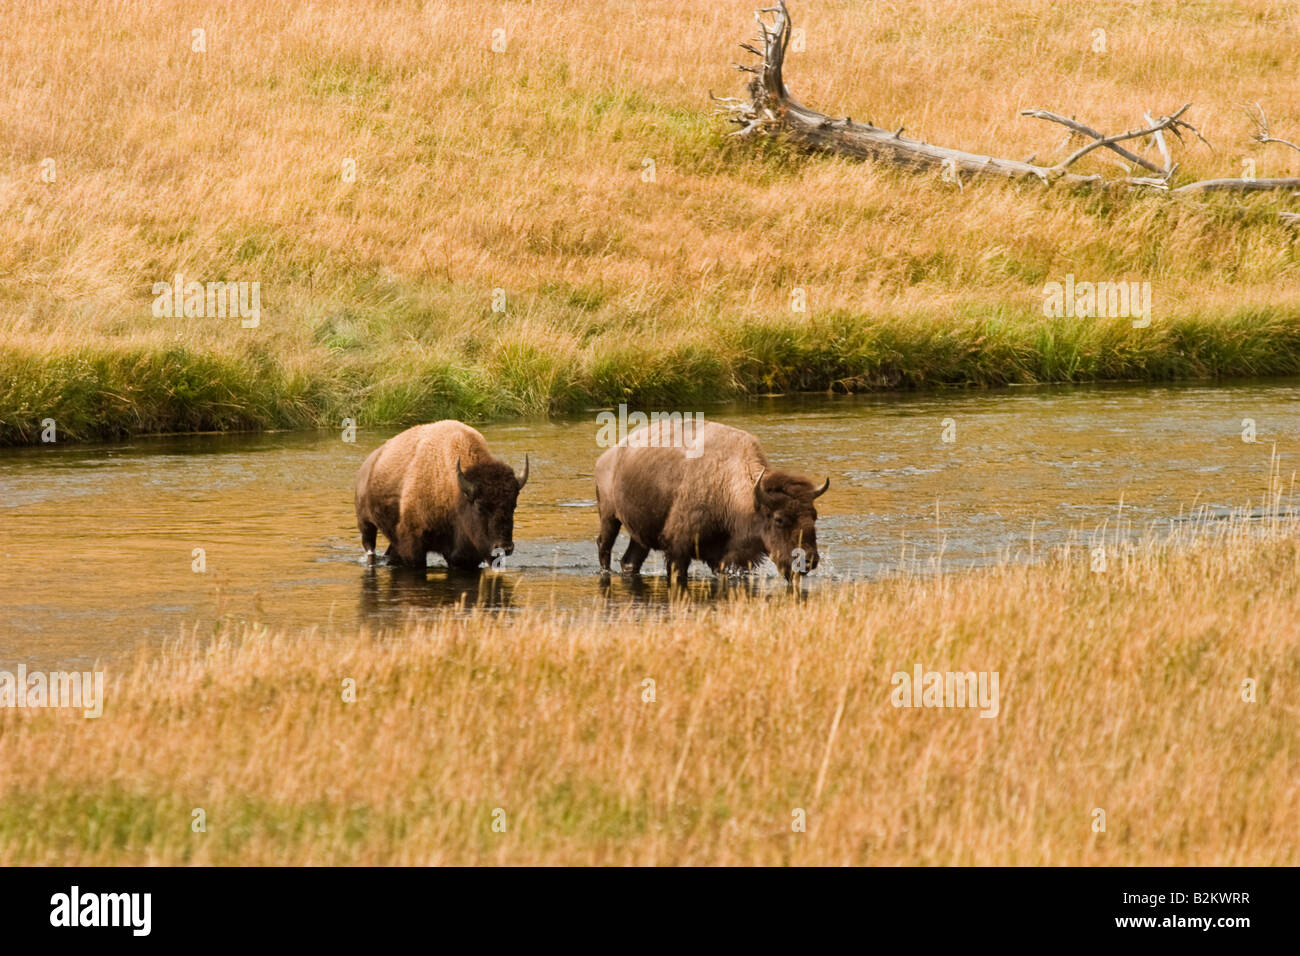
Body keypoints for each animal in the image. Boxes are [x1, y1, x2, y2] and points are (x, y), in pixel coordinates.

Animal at [354, 420, 528, 570]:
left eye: (513, 505)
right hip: (366, 524)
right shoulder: (413, 543)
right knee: (370, 546)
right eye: (480, 506)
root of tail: (368, 464)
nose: (504, 547)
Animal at [594, 419, 828, 581]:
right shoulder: (678, 550)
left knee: (630, 561)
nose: (809, 559)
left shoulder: (726, 557)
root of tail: (606, 457)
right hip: (609, 518)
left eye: (814, 516)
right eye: (779, 519)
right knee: (604, 546)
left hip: (639, 534)